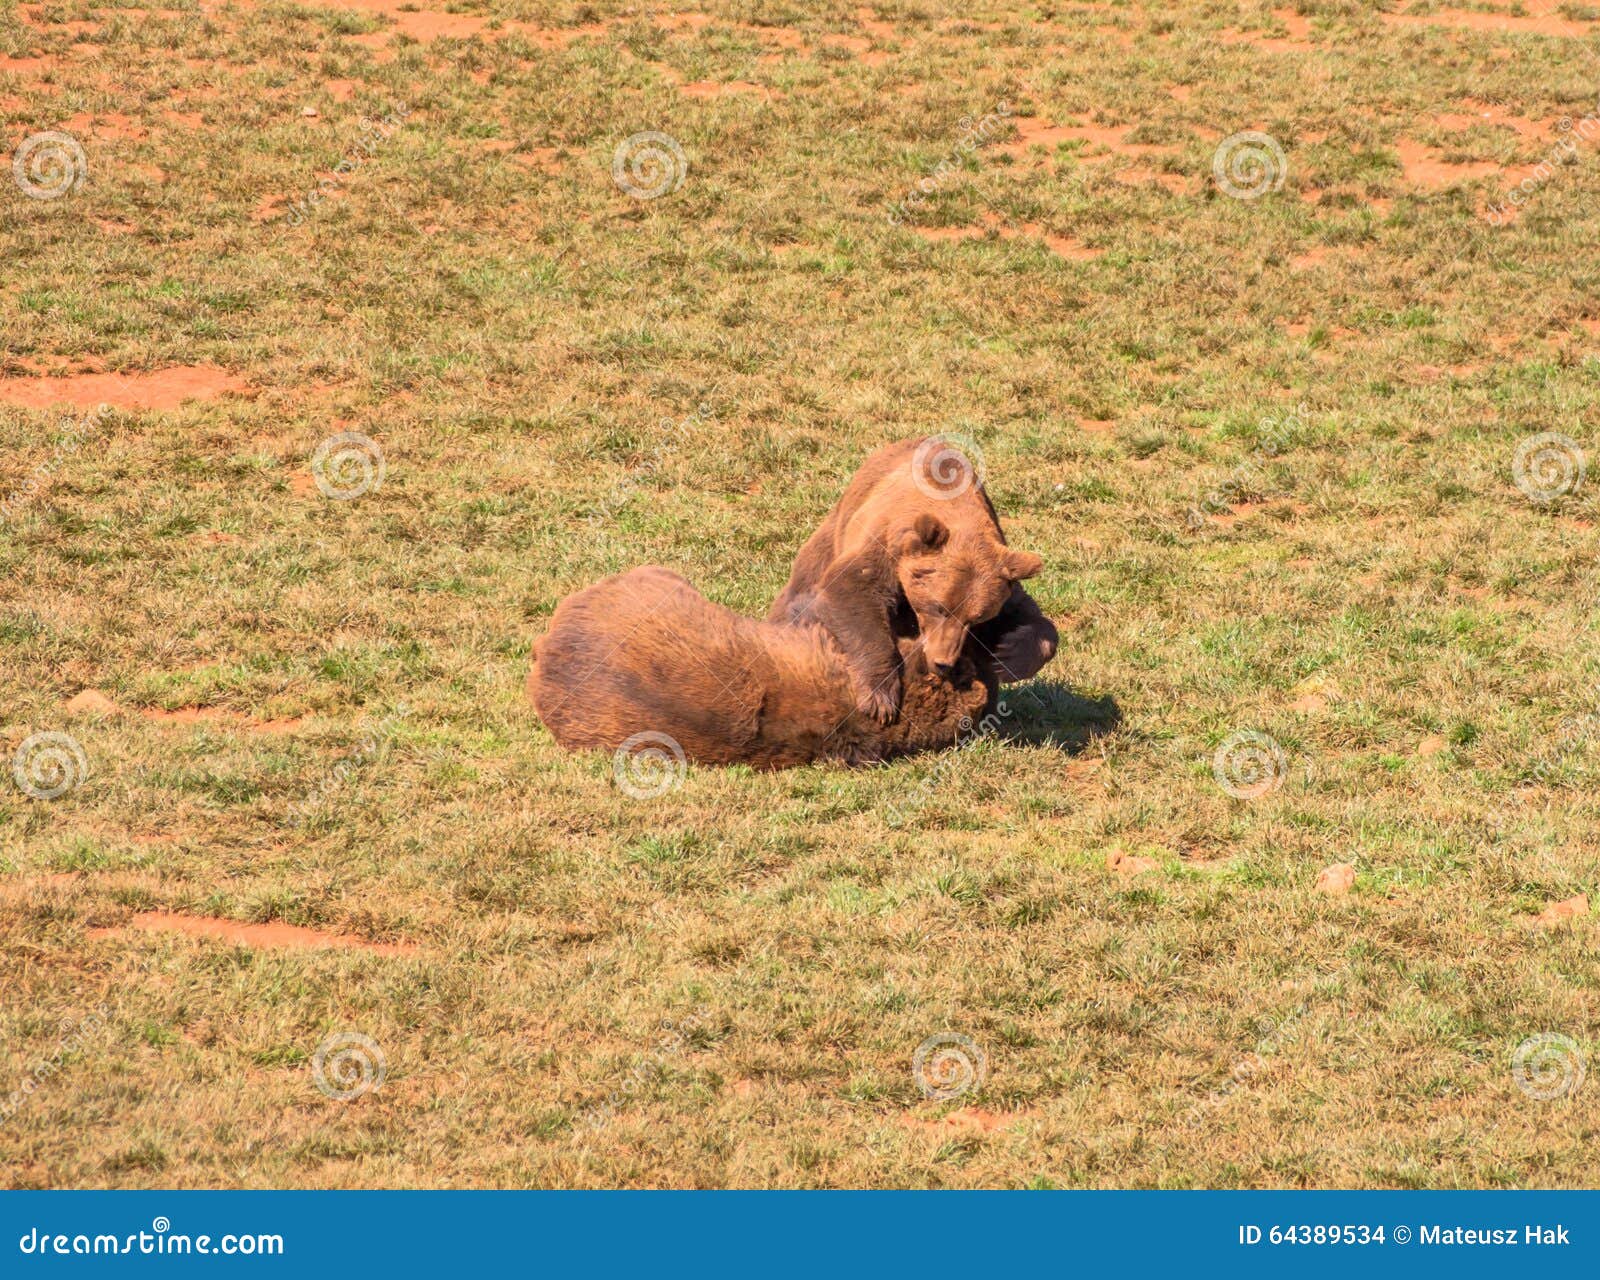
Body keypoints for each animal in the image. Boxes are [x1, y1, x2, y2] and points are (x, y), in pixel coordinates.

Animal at [767, 436, 1057, 722]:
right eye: (939, 608)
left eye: (975, 618)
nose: (943, 662)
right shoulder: (885, 544)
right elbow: (853, 591)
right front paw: (880, 697)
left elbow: (1028, 616)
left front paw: (1009, 653)